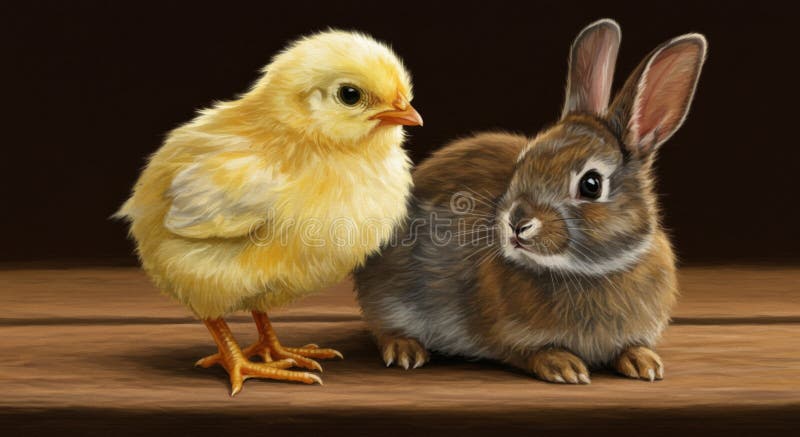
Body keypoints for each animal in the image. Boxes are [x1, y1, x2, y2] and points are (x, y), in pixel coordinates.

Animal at [354, 19, 707, 384]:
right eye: (523, 161)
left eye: (591, 185)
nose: (516, 222)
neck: (588, 271)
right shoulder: (508, 335)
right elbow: (531, 352)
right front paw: (564, 366)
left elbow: (631, 347)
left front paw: (645, 362)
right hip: (388, 289)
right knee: (383, 326)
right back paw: (405, 350)